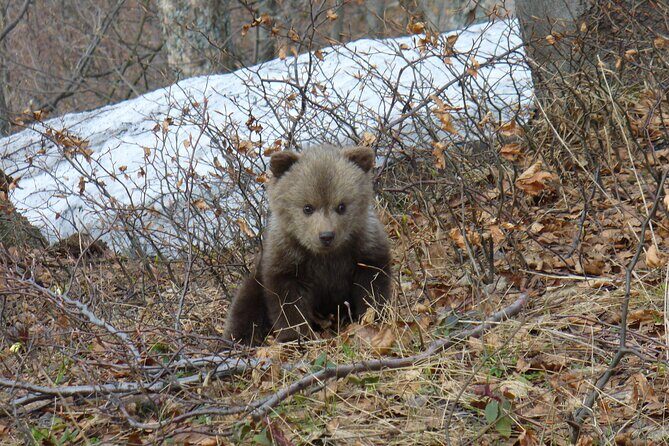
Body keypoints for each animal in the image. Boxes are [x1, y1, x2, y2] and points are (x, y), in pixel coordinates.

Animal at [222, 145, 392, 346]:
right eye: (307, 207)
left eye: (341, 206)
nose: (326, 236)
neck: (325, 256)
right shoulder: (287, 260)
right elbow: (288, 303)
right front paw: (295, 336)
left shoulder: (364, 248)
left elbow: (372, 286)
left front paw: (374, 317)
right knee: (245, 309)